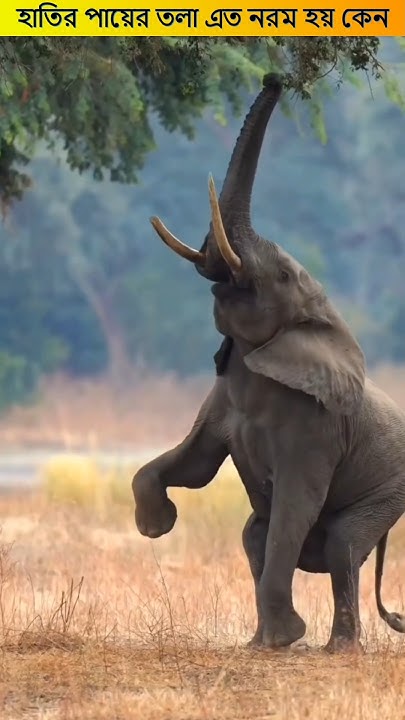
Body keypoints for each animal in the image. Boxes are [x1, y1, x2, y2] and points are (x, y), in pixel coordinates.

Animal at [132, 72, 405, 654]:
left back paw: (335, 650)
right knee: (254, 535)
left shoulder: (315, 428)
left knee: (340, 544)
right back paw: (264, 644)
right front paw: (156, 526)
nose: (275, 76)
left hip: (390, 489)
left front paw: (290, 638)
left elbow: (295, 506)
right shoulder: (219, 400)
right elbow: (192, 464)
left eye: (280, 275)